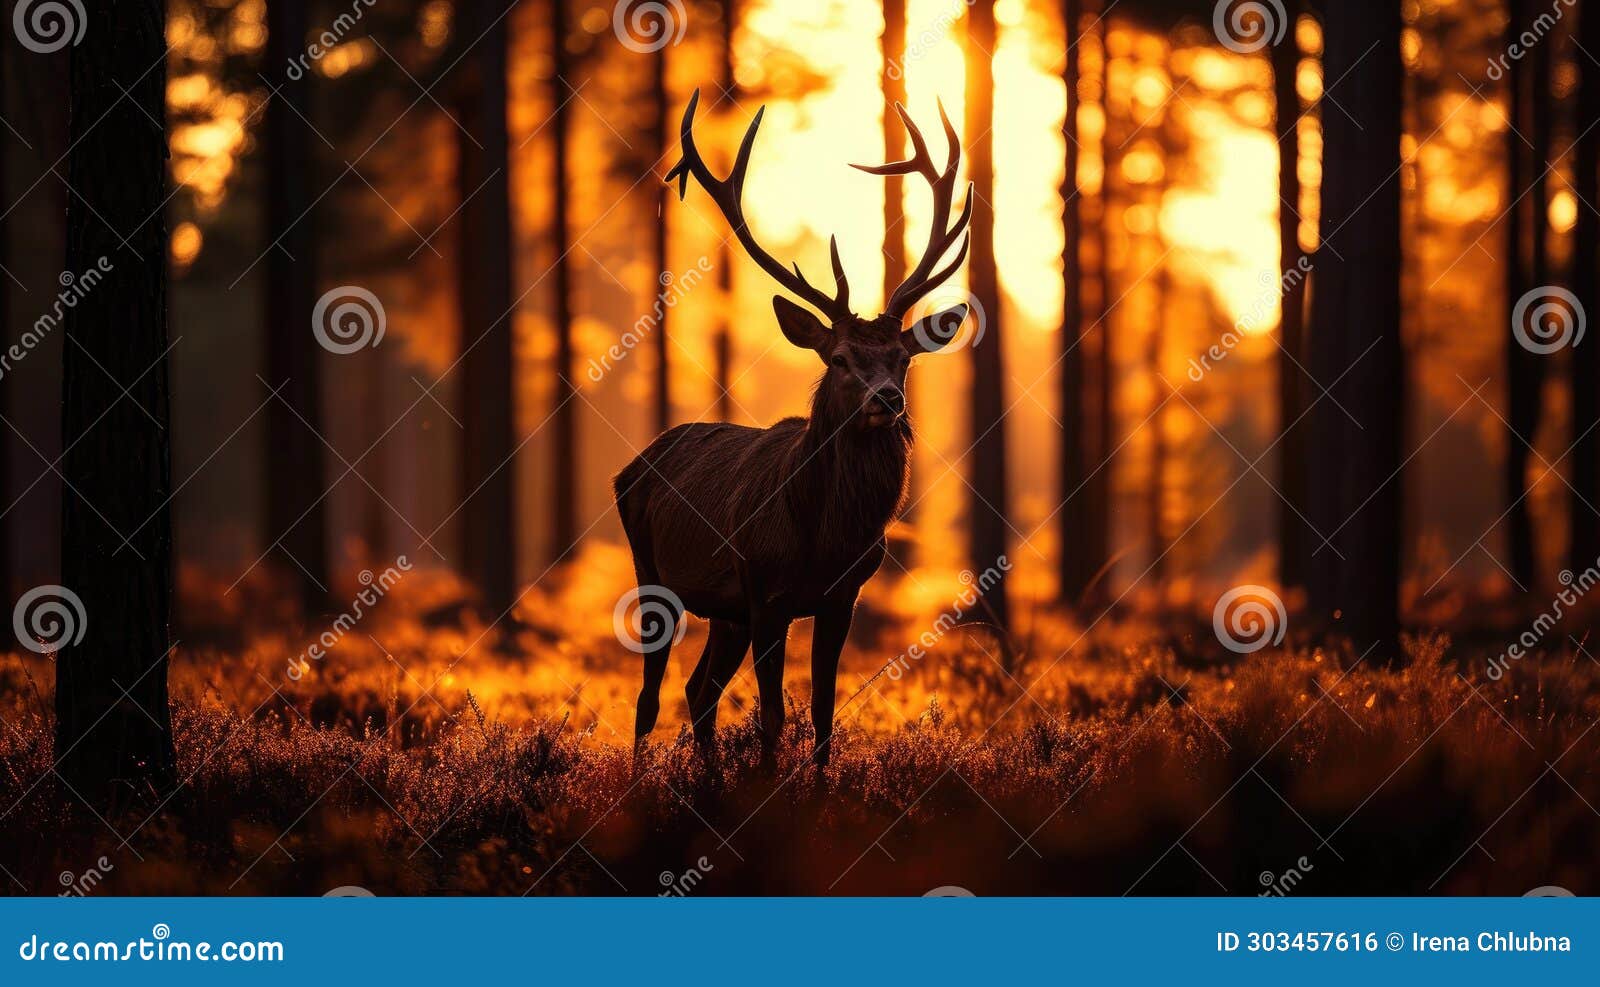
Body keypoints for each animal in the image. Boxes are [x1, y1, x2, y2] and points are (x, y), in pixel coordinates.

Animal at [614, 89, 972, 767]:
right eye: (840, 359)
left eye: (903, 357)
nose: (888, 398)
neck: (822, 538)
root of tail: (633, 465)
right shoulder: (764, 592)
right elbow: (774, 716)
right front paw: (767, 782)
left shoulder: (841, 597)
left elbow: (824, 713)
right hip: (652, 573)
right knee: (650, 697)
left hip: (722, 609)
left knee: (698, 689)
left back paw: (709, 782)